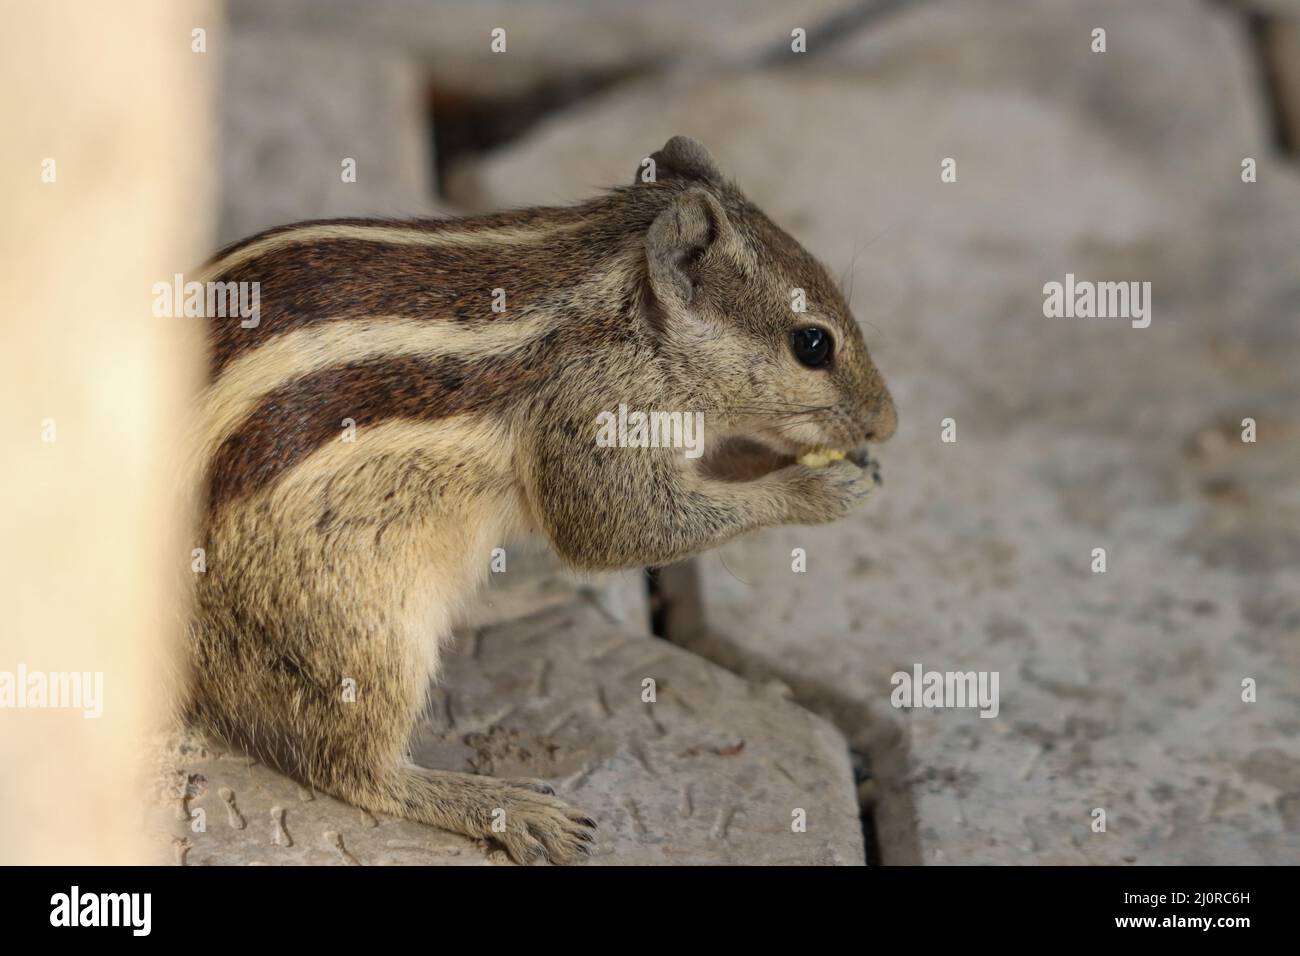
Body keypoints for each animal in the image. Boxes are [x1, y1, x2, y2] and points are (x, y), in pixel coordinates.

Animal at [186, 136, 897, 864]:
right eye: (812, 343)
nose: (887, 423)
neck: (621, 308)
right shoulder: (594, 417)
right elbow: (620, 528)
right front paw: (818, 488)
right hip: (360, 626)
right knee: (352, 769)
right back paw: (505, 807)